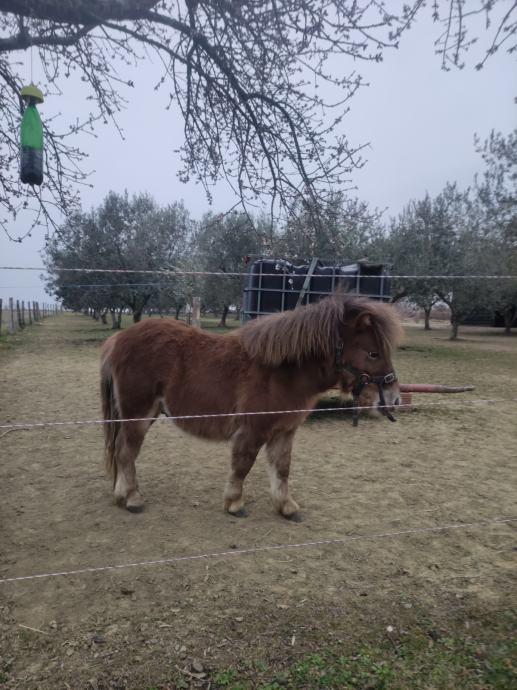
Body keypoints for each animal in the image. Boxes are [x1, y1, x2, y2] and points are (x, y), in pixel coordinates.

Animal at [100, 294, 403, 518]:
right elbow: (242, 465)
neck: (282, 372)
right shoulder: (253, 430)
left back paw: (121, 495)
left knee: (121, 450)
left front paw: (286, 507)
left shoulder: (284, 431)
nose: (394, 399)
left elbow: (282, 467)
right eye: (373, 353)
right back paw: (133, 499)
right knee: (126, 452)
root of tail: (117, 340)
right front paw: (235, 504)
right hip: (138, 415)